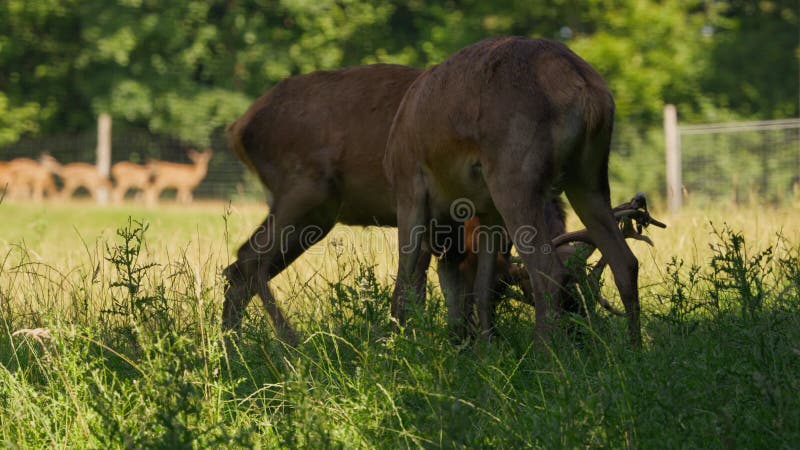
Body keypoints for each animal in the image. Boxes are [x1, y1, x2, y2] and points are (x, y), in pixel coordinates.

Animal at [384, 37, 643, 345]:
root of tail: (587, 92)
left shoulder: (410, 188)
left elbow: (404, 280)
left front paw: (395, 346)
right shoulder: (485, 213)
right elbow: (480, 288)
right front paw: (486, 348)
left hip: (515, 177)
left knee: (548, 270)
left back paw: (545, 352)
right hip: (589, 177)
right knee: (626, 262)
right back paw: (634, 349)